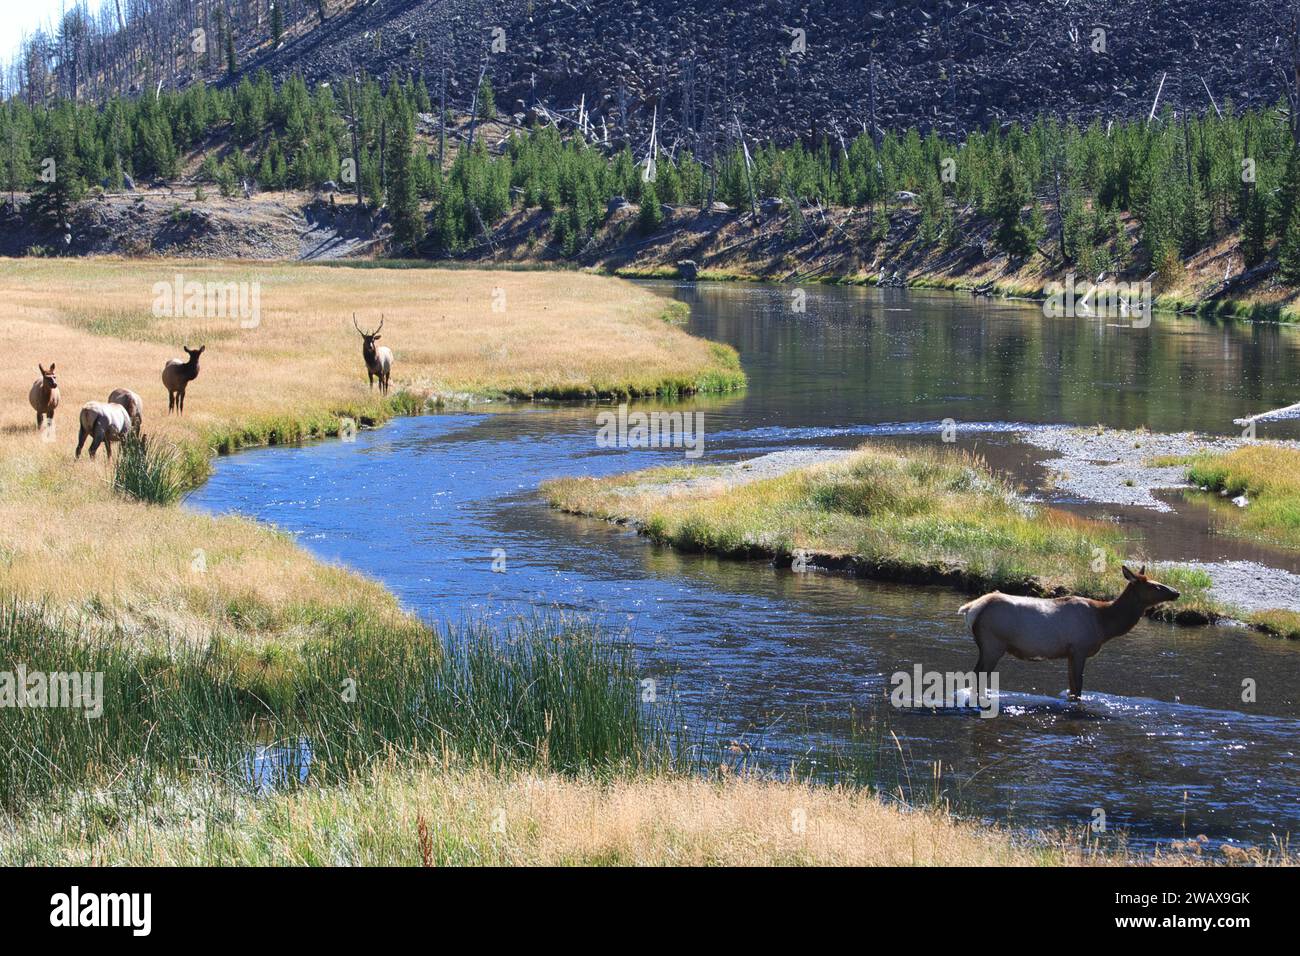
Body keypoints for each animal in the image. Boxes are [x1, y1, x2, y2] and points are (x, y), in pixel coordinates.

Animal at [959, 565, 1180, 701]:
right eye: (1155, 586)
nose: (1177, 592)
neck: (1104, 624)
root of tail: (971, 609)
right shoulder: (1080, 648)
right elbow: (1078, 686)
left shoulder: (1070, 653)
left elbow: (1072, 686)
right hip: (993, 644)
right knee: (978, 675)